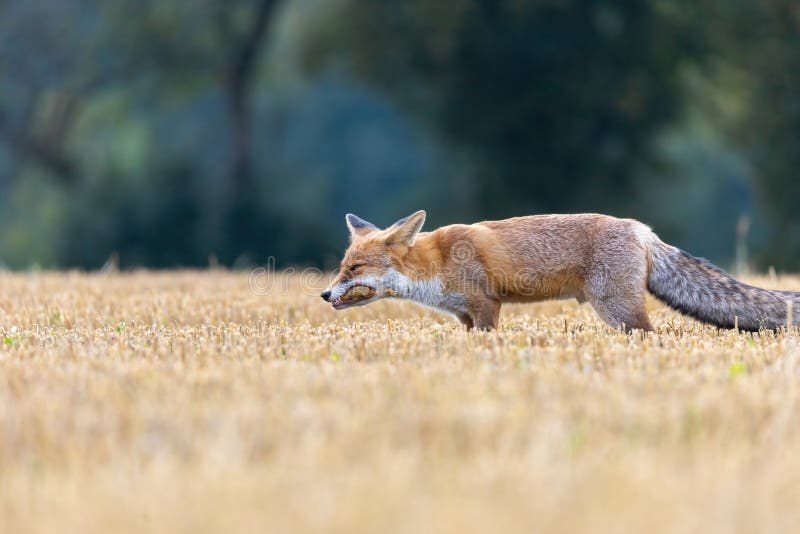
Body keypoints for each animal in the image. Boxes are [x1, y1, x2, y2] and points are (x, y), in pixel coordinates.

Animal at [321, 210, 800, 332]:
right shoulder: (465, 316)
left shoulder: (486, 305)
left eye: (355, 268)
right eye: (341, 268)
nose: (324, 295)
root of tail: (642, 229)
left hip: (619, 310)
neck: (435, 264)